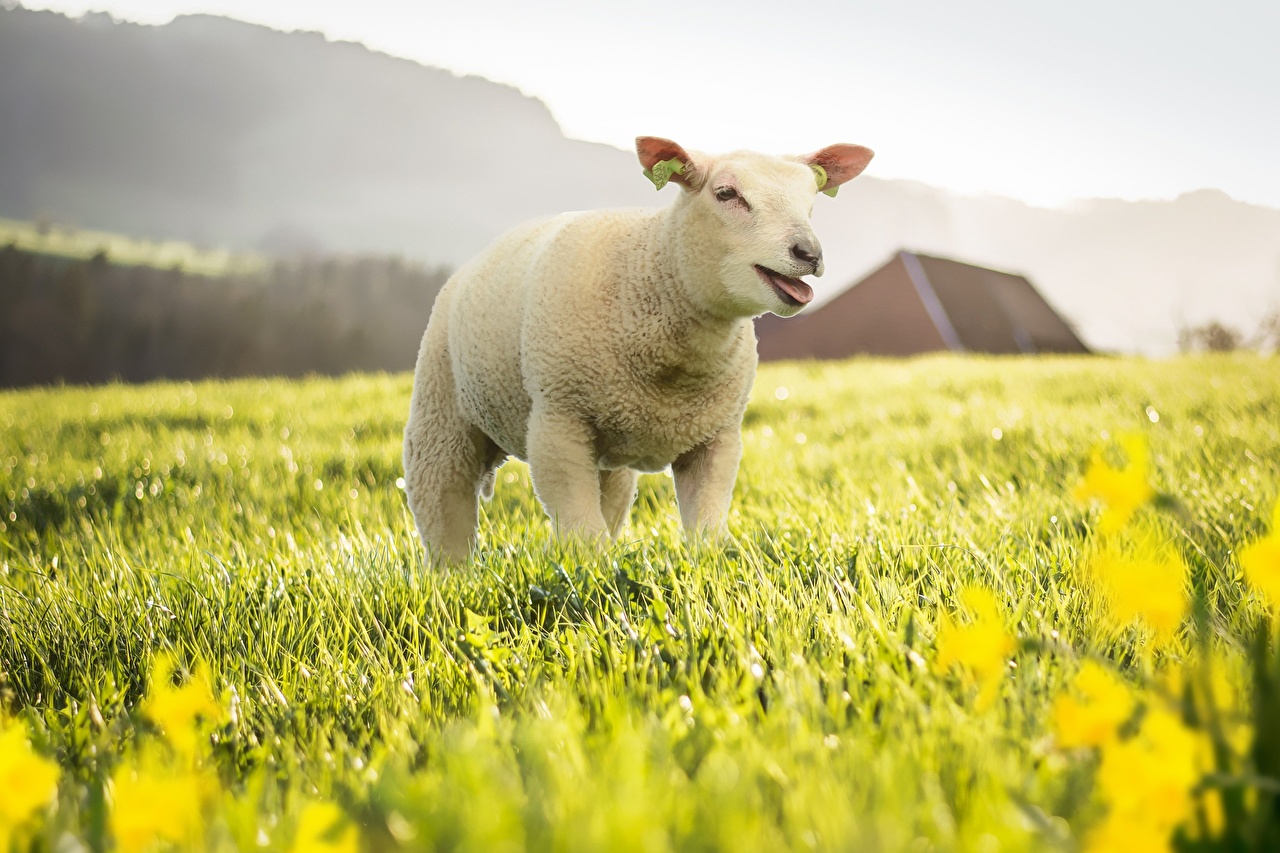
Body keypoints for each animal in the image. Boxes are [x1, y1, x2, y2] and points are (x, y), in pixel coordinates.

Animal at [404, 134, 875, 558]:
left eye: (812, 201)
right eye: (726, 193)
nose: (809, 253)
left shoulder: (716, 438)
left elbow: (705, 530)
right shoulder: (558, 421)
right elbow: (583, 537)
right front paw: (591, 584)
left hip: (608, 454)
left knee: (609, 502)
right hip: (441, 414)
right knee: (443, 509)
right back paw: (454, 575)